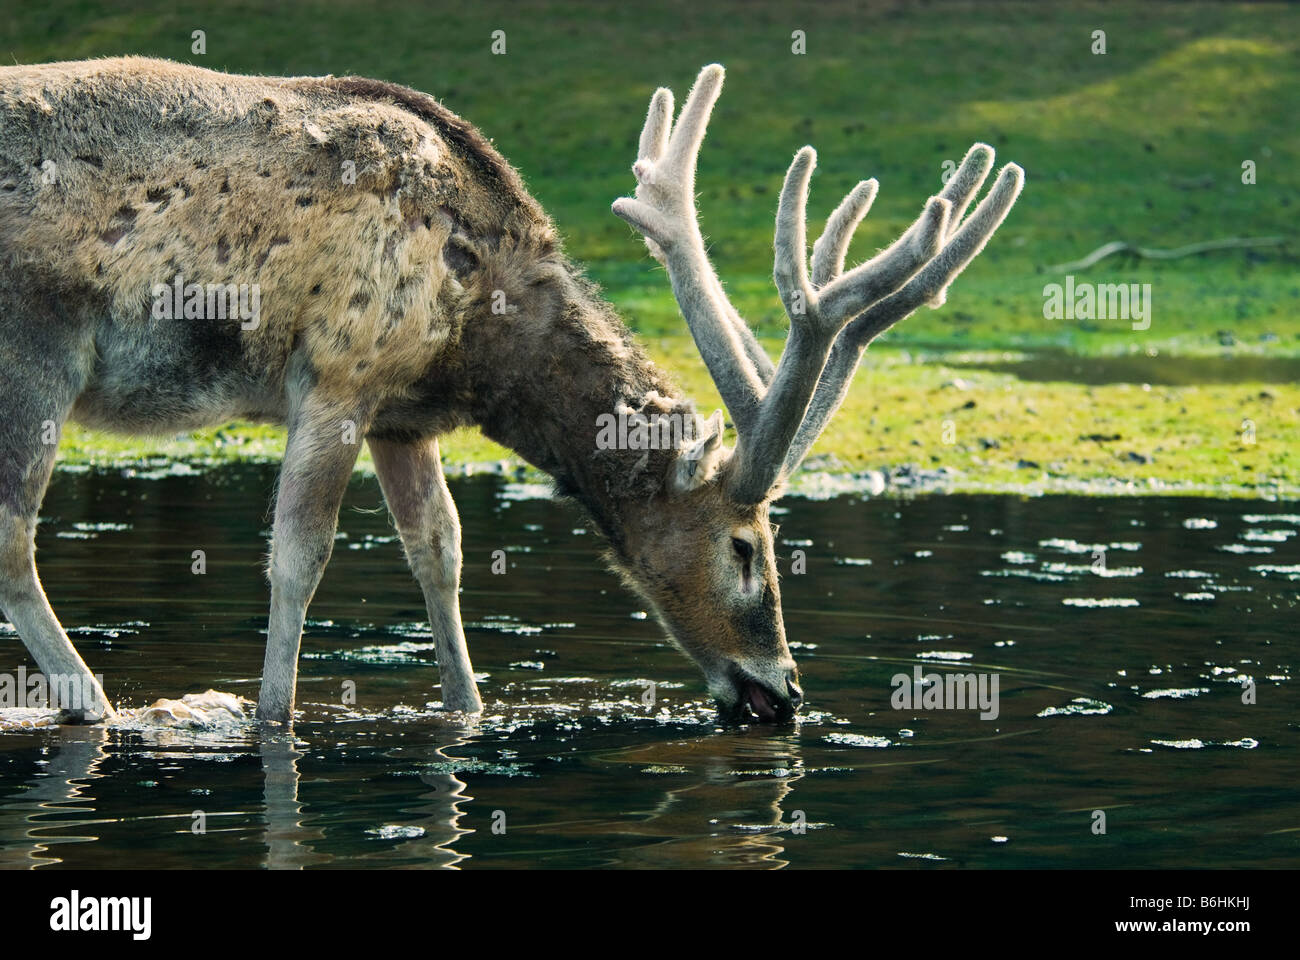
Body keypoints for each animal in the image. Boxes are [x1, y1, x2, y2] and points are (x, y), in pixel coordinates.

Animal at [0, 58, 1022, 727]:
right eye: (745, 547)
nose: (782, 691)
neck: (482, 338)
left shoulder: (400, 417)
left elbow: (440, 551)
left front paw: (468, 709)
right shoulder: (339, 373)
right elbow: (299, 556)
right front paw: (272, 720)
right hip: (35, 351)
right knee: (14, 543)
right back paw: (95, 707)